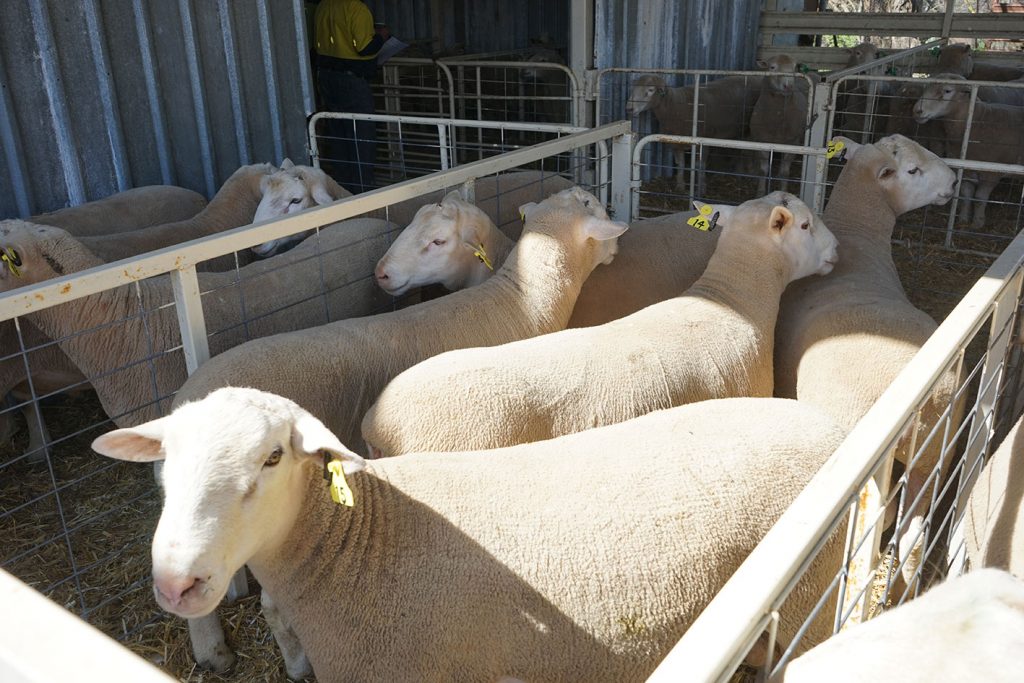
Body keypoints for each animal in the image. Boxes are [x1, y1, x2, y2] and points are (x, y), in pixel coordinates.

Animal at [92, 389, 849, 682]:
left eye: (274, 456)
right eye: (166, 458)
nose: (177, 581)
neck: (361, 545)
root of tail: (829, 422)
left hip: (812, 611)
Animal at [626, 73, 759, 194]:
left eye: (651, 90)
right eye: (633, 88)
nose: (629, 108)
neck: (675, 105)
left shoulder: (703, 142)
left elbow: (700, 165)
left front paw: (701, 189)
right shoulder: (676, 143)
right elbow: (680, 164)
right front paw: (680, 187)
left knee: (749, 150)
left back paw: (750, 172)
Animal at [749, 55, 809, 196]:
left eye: (795, 67)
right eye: (772, 67)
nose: (788, 86)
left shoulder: (792, 143)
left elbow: (785, 172)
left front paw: (783, 191)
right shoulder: (762, 141)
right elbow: (763, 170)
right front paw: (760, 192)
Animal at [773, 133, 959, 585]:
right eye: (913, 169)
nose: (954, 180)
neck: (858, 239)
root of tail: (925, 402)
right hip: (934, 454)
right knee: (912, 536)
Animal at [913, 74, 1024, 229]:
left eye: (947, 90)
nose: (917, 111)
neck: (979, 121)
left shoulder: (992, 173)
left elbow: (980, 198)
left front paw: (978, 222)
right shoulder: (965, 169)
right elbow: (966, 195)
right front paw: (963, 219)